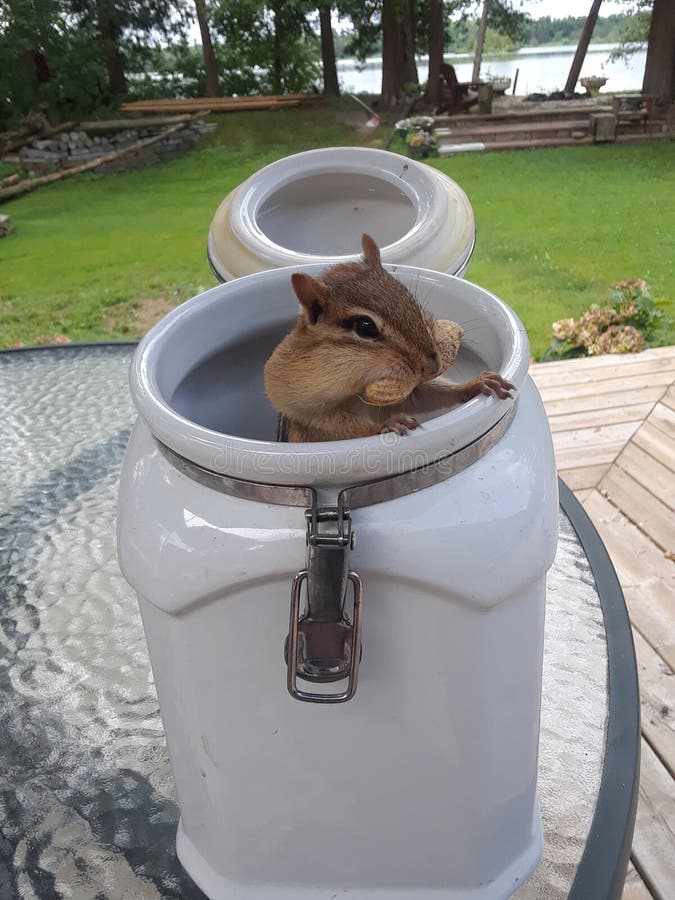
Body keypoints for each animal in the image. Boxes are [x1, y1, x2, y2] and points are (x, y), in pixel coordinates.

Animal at [264, 234, 515, 442]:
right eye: (365, 327)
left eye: (412, 301)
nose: (432, 366)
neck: (359, 378)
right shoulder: (300, 403)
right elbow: (335, 424)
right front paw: (386, 424)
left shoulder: (400, 391)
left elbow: (423, 395)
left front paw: (475, 384)